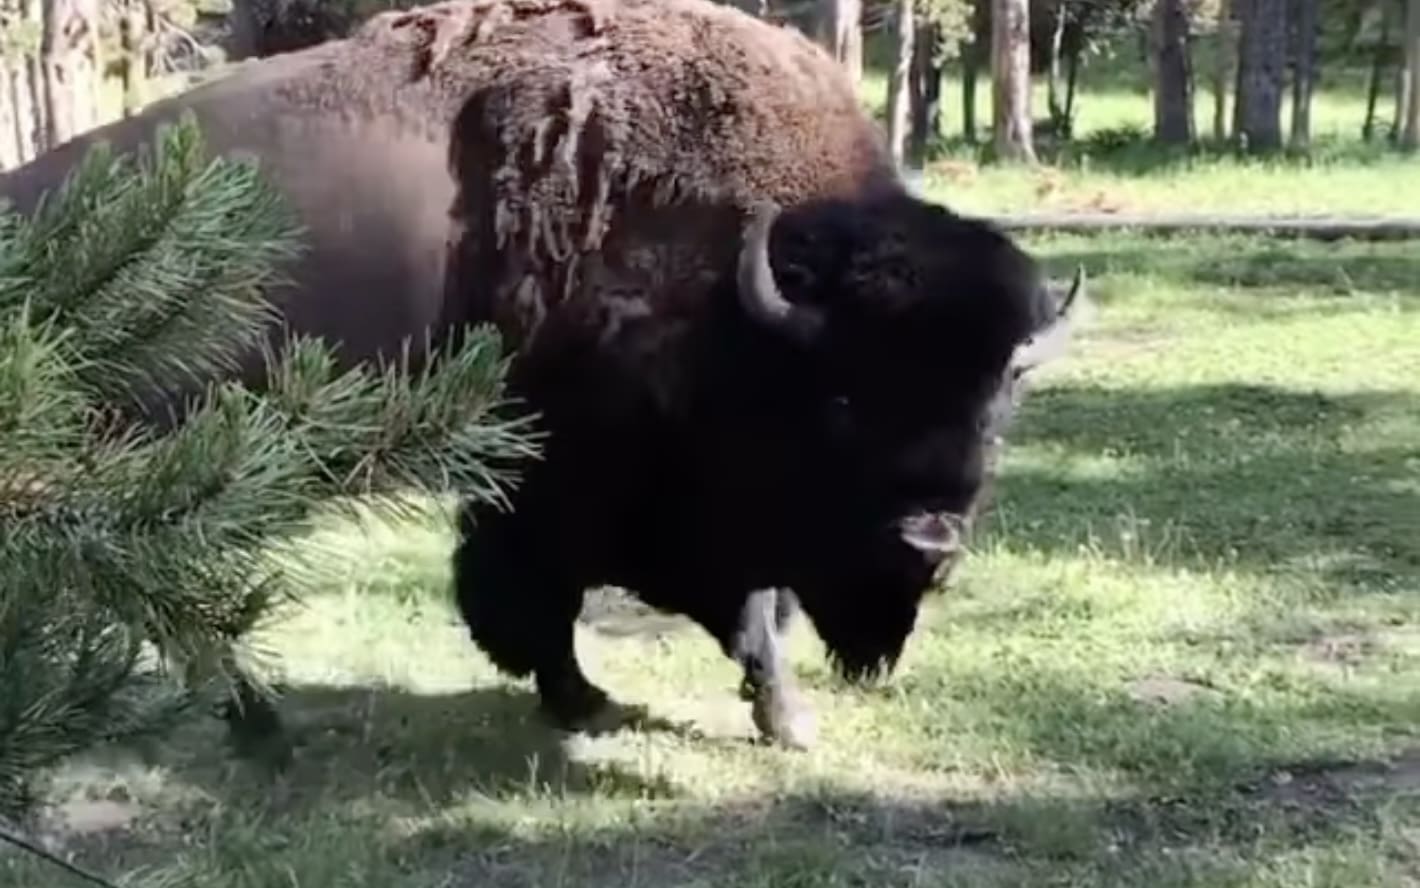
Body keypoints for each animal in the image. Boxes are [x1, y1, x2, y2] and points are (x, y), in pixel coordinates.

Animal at [1, 0, 1085, 750]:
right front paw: (610, 703)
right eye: (845, 401)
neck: (739, 296)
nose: (929, 542)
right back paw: (263, 728)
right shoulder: (570, 488)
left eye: (993, 410)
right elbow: (610, 603)